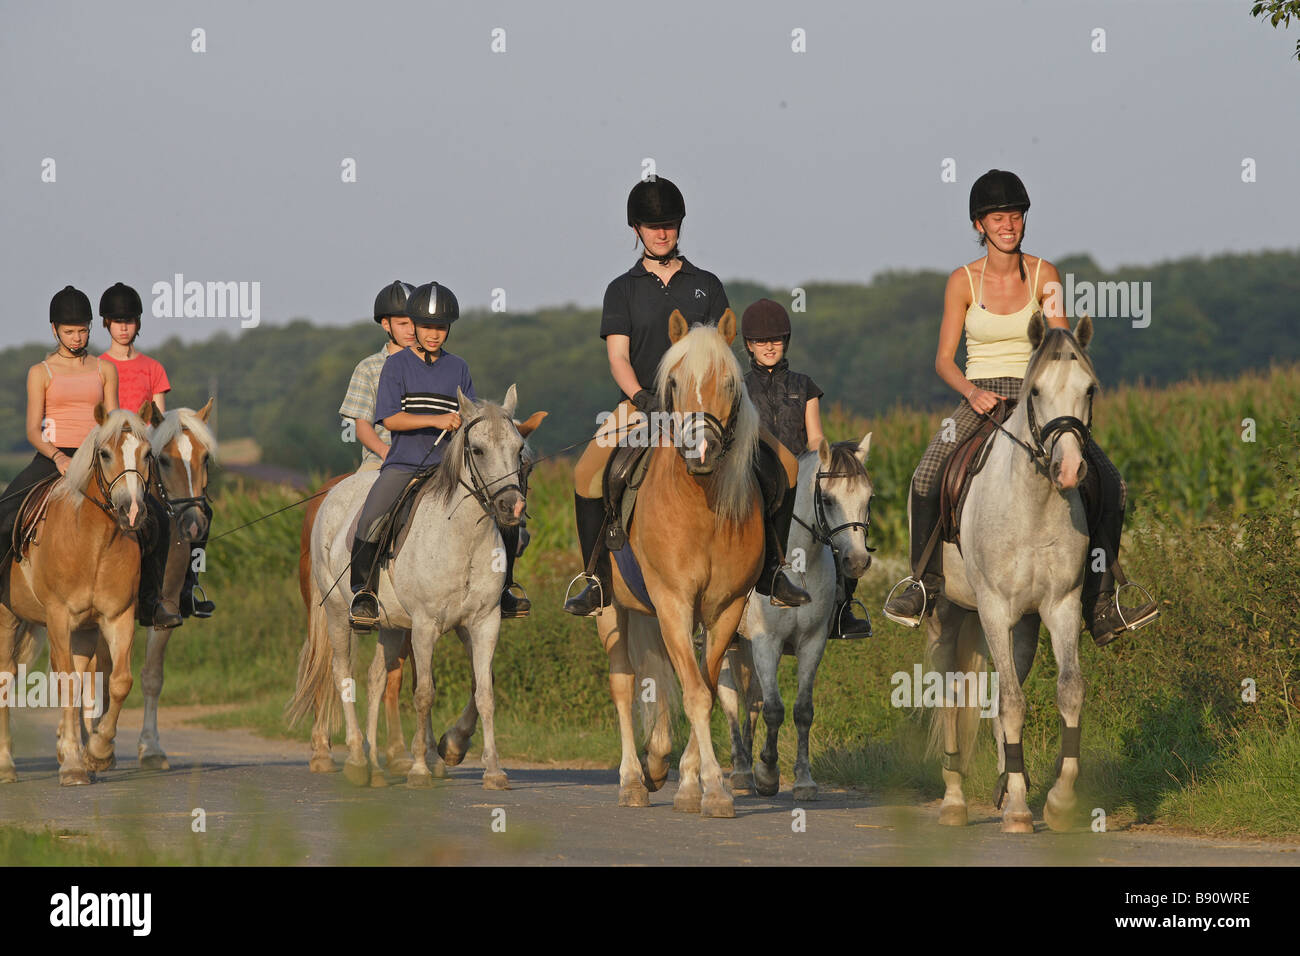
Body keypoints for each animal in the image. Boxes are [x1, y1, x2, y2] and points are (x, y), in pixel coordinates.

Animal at [0, 405, 153, 785]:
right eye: (105, 453)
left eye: (148, 454)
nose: (132, 511)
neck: (93, 542)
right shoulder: (58, 616)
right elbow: (67, 684)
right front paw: (71, 763)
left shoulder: (117, 618)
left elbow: (118, 682)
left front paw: (97, 753)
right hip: (8, 618)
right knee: (6, 677)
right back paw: (6, 765)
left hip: (81, 631)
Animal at [287, 386, 537, 789]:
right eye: (478, 450)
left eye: (519, 451)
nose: (511, 507)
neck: (463, 538)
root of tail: (331, 495)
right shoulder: (424, 625)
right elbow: (424, 693)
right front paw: (422, 768)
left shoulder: (482, 623)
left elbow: (484, 691)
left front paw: (487, 767)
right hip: (338, 616)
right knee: (341, 673)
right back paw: (355, 758)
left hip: (389, 624)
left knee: (376, 678)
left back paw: (376, 764)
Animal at [595, 309, 765, 818]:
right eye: (672, 382)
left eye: (729, 382)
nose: (701, 452)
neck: (700, 504)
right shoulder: (672, 601)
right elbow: (694, 693)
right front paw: (713, 789)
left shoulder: (724, 609)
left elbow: (705, 687)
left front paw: (692, 785)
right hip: (612, 610)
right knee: (624, 686)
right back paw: (633, 780)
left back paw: (656, 764)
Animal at [719, 434, 875, 801]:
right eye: (828, 500)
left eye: (869, 498)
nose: (858, 561)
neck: (798, 566)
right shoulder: (767, 642)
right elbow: (774, 709)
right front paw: (767, 773)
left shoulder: (812, 643)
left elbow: (802, 710)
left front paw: (804, 781)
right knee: (730, 698)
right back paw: (741, 771)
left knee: (751, 701)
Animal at [925, 313, 1097, 833]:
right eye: (1036, 390)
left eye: (1089, 389)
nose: (1069, 469)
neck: (1035, 501)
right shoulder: (994, 610)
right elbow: (1013, 703)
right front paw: (1021, 811)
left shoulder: (1061, 606)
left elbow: (1068, 692)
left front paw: (1058, 802)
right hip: (950, 614)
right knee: (950, 693)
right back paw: (955, 800)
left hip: (1023, 626)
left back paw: (1004, 787)